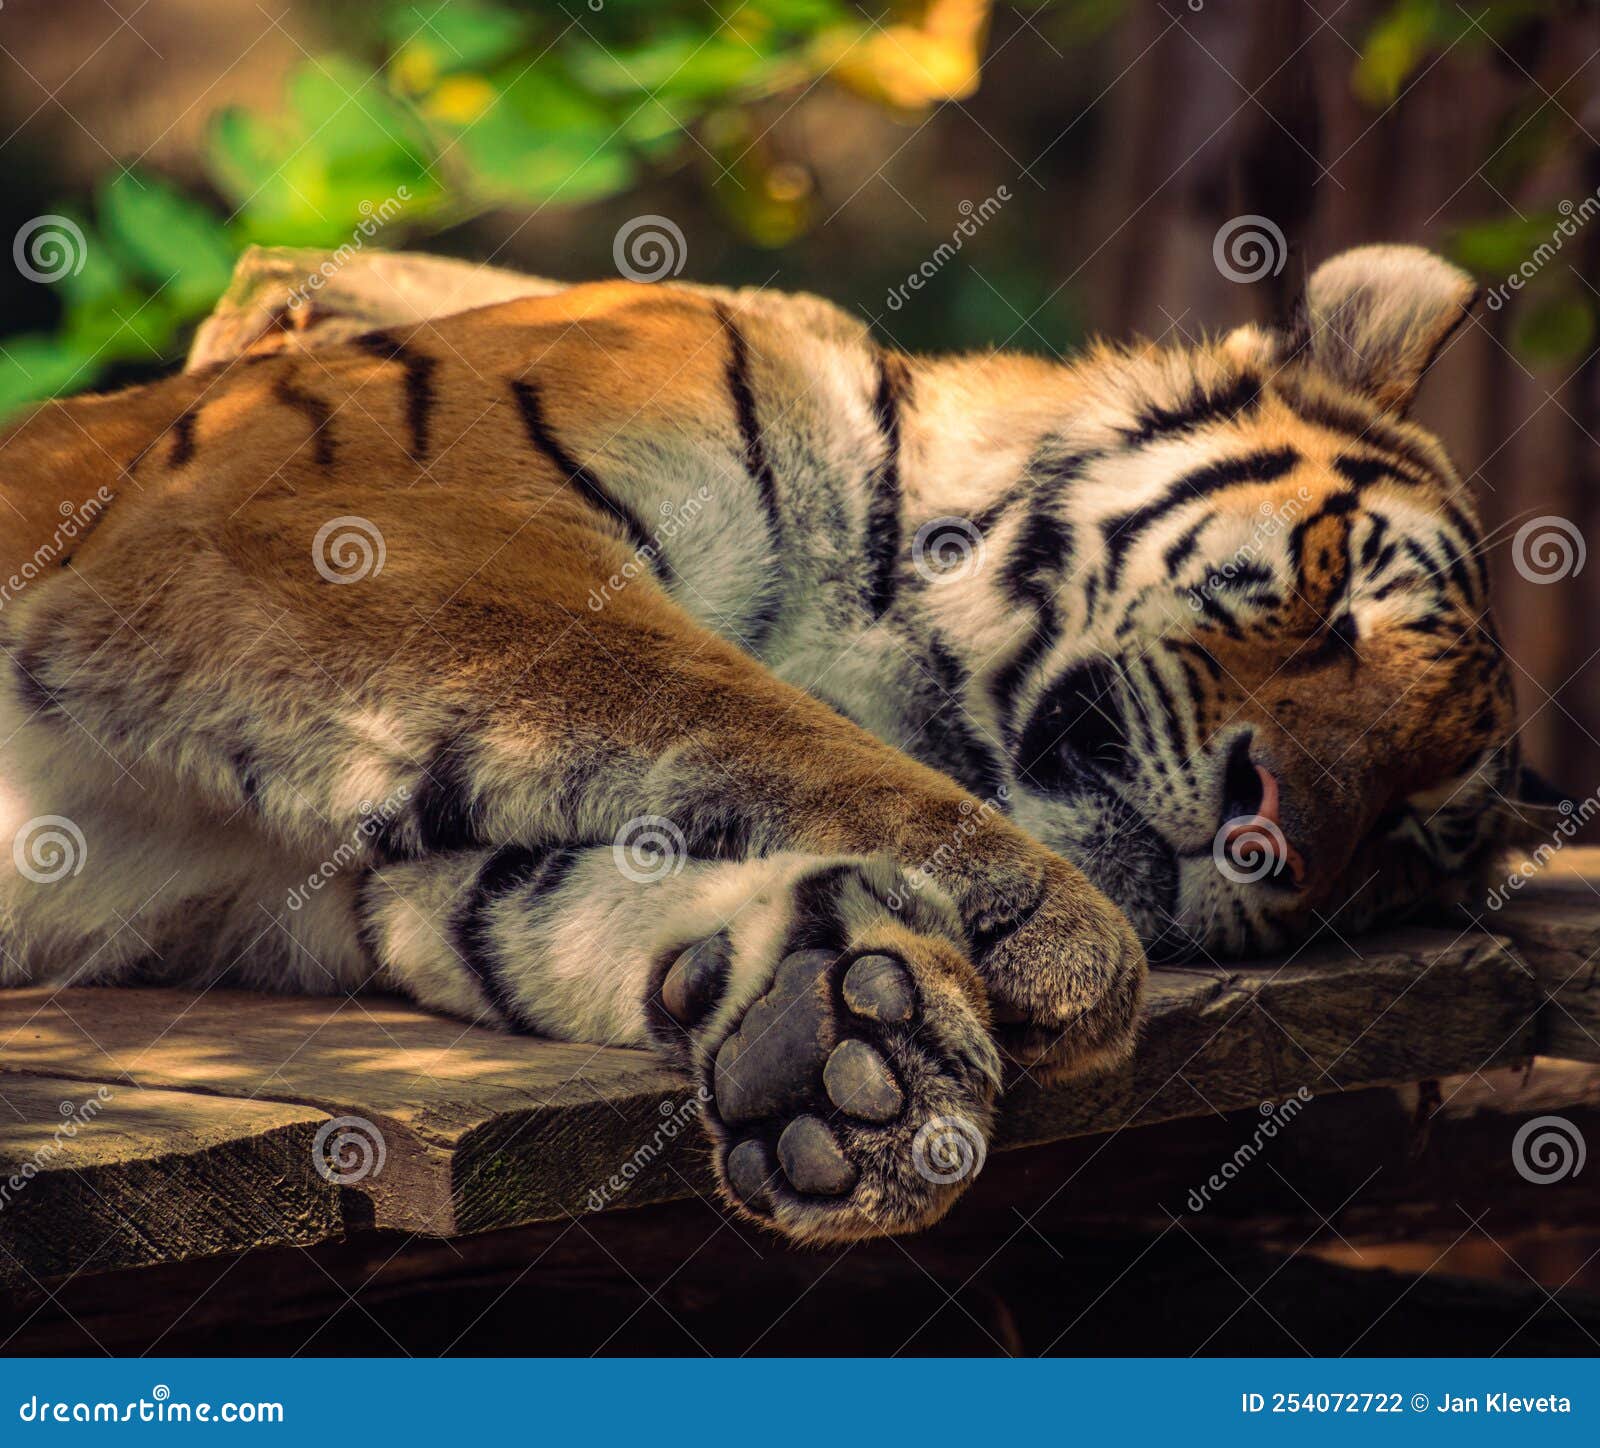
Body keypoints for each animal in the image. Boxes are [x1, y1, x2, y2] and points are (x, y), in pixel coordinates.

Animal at [0, 241, 1525, 1245]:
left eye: (1398, 840)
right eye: (1340, 604)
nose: (1279, 841)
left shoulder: (313, 887)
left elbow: (531, 900)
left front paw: (839, 1040)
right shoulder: (364, 531)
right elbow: (707, 704)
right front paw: (1059, 940)